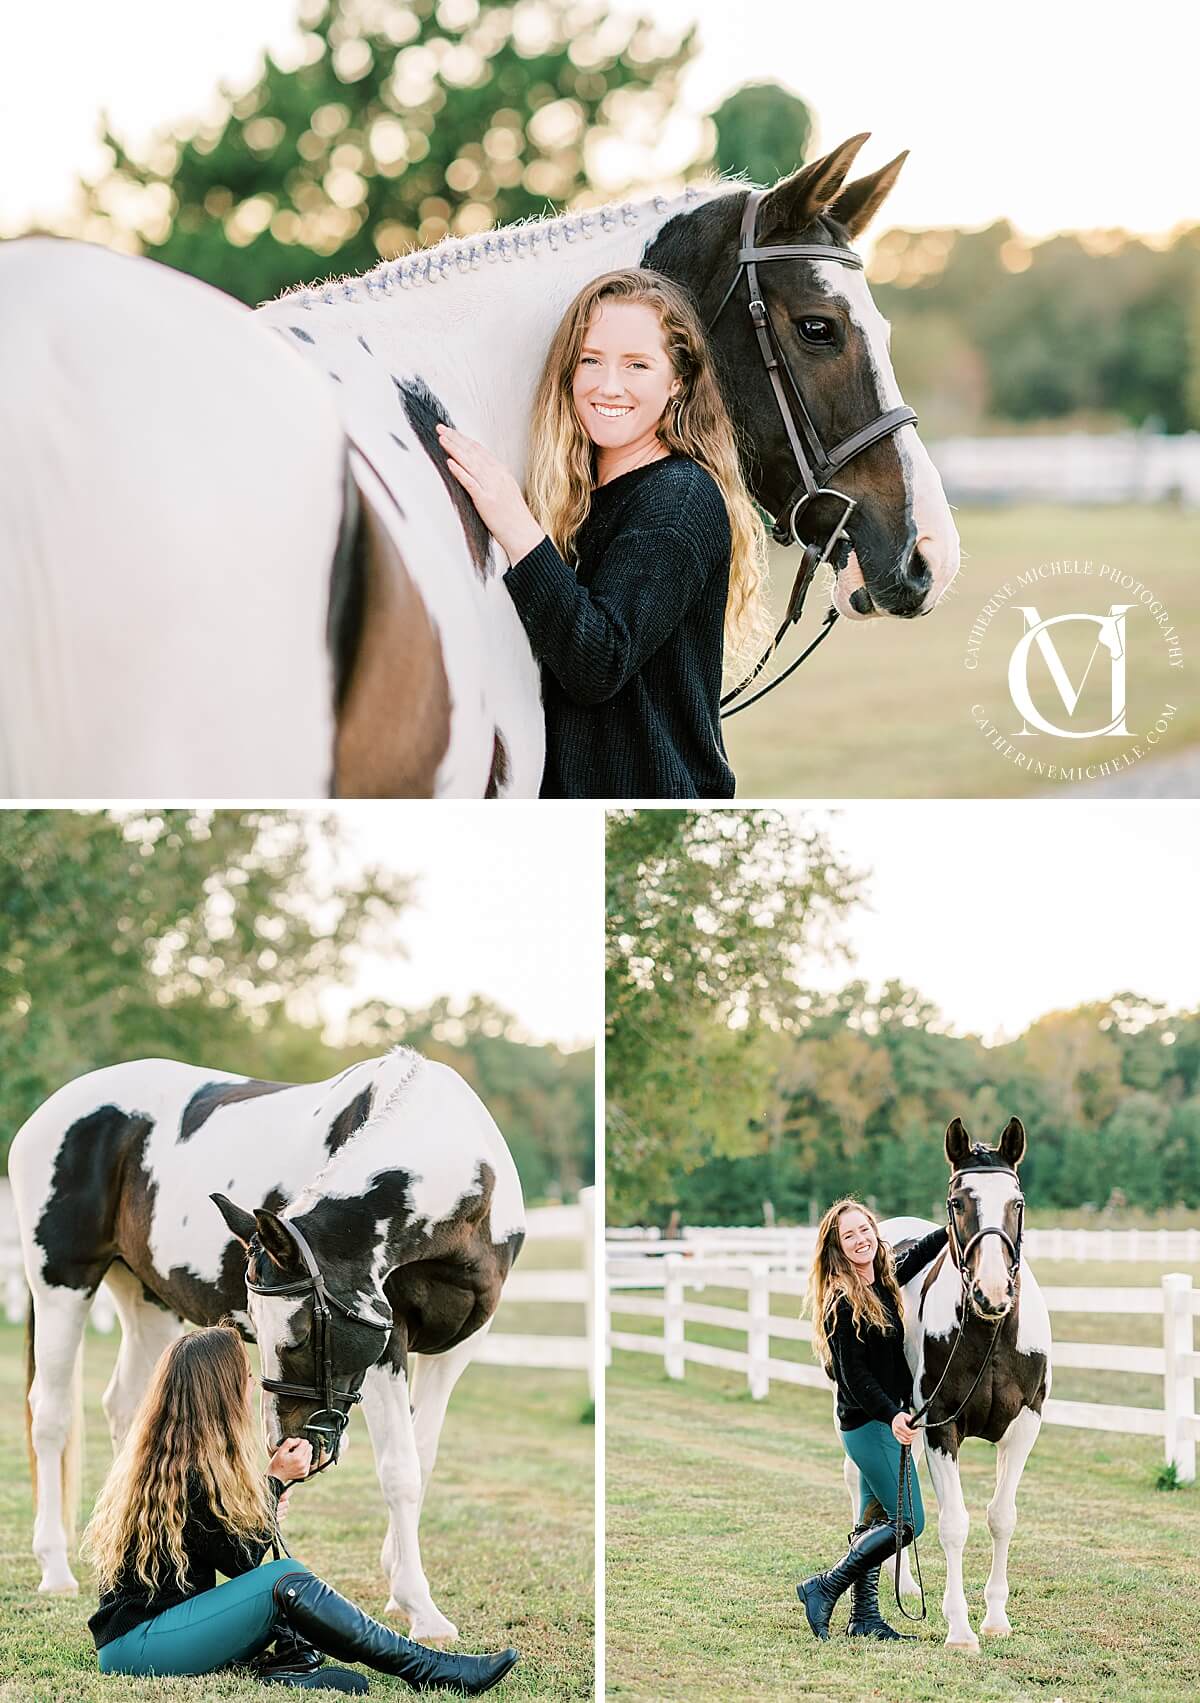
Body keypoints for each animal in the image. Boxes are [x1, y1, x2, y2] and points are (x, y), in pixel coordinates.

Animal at [8, 1047, 525, 1644]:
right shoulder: (385, 1342)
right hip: (61, 1283)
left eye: (301, 1333)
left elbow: (422, 1457)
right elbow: (399, 1471)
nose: (286, 1444)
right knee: (49, 1415)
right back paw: (54, 1568)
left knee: (128, 1406)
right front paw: (422, 1607)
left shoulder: (456, 1348)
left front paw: (400, 1583)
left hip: (145, 1298)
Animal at [847, 1116, 1051, 1649]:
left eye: (1017, 1202)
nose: (992, 1292)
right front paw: (959, 1628)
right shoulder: (940, 1427)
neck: (990, 1334)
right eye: (957, 1202)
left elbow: (1002, 1517)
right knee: (864, 1487)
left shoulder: (1025, 1426)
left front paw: (996, 1619)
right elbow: (954, 1523)